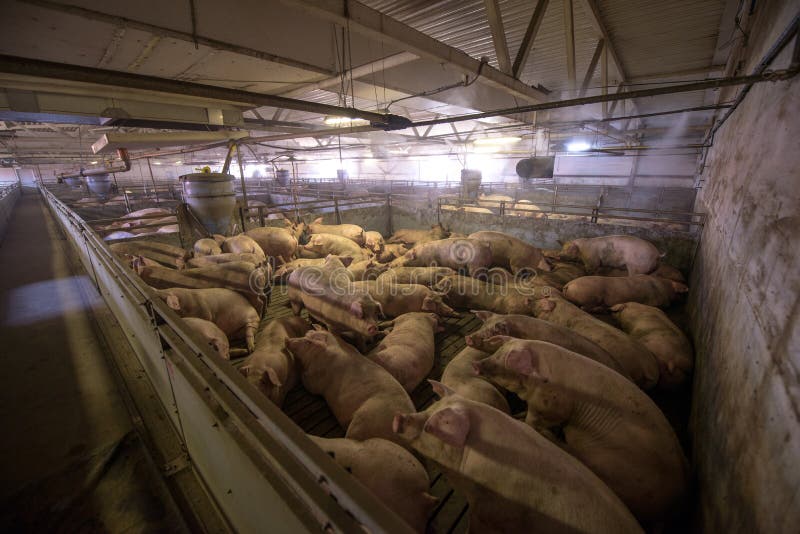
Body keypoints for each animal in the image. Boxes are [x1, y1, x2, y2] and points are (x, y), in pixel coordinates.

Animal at [473, 338, 689, 522]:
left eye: (502, 361)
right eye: (497, 352)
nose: (476, 364)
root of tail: (675, 499)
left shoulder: (548, 407)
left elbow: (534, 421)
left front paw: (522, 421)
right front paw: (518, 414)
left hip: (605, 463)